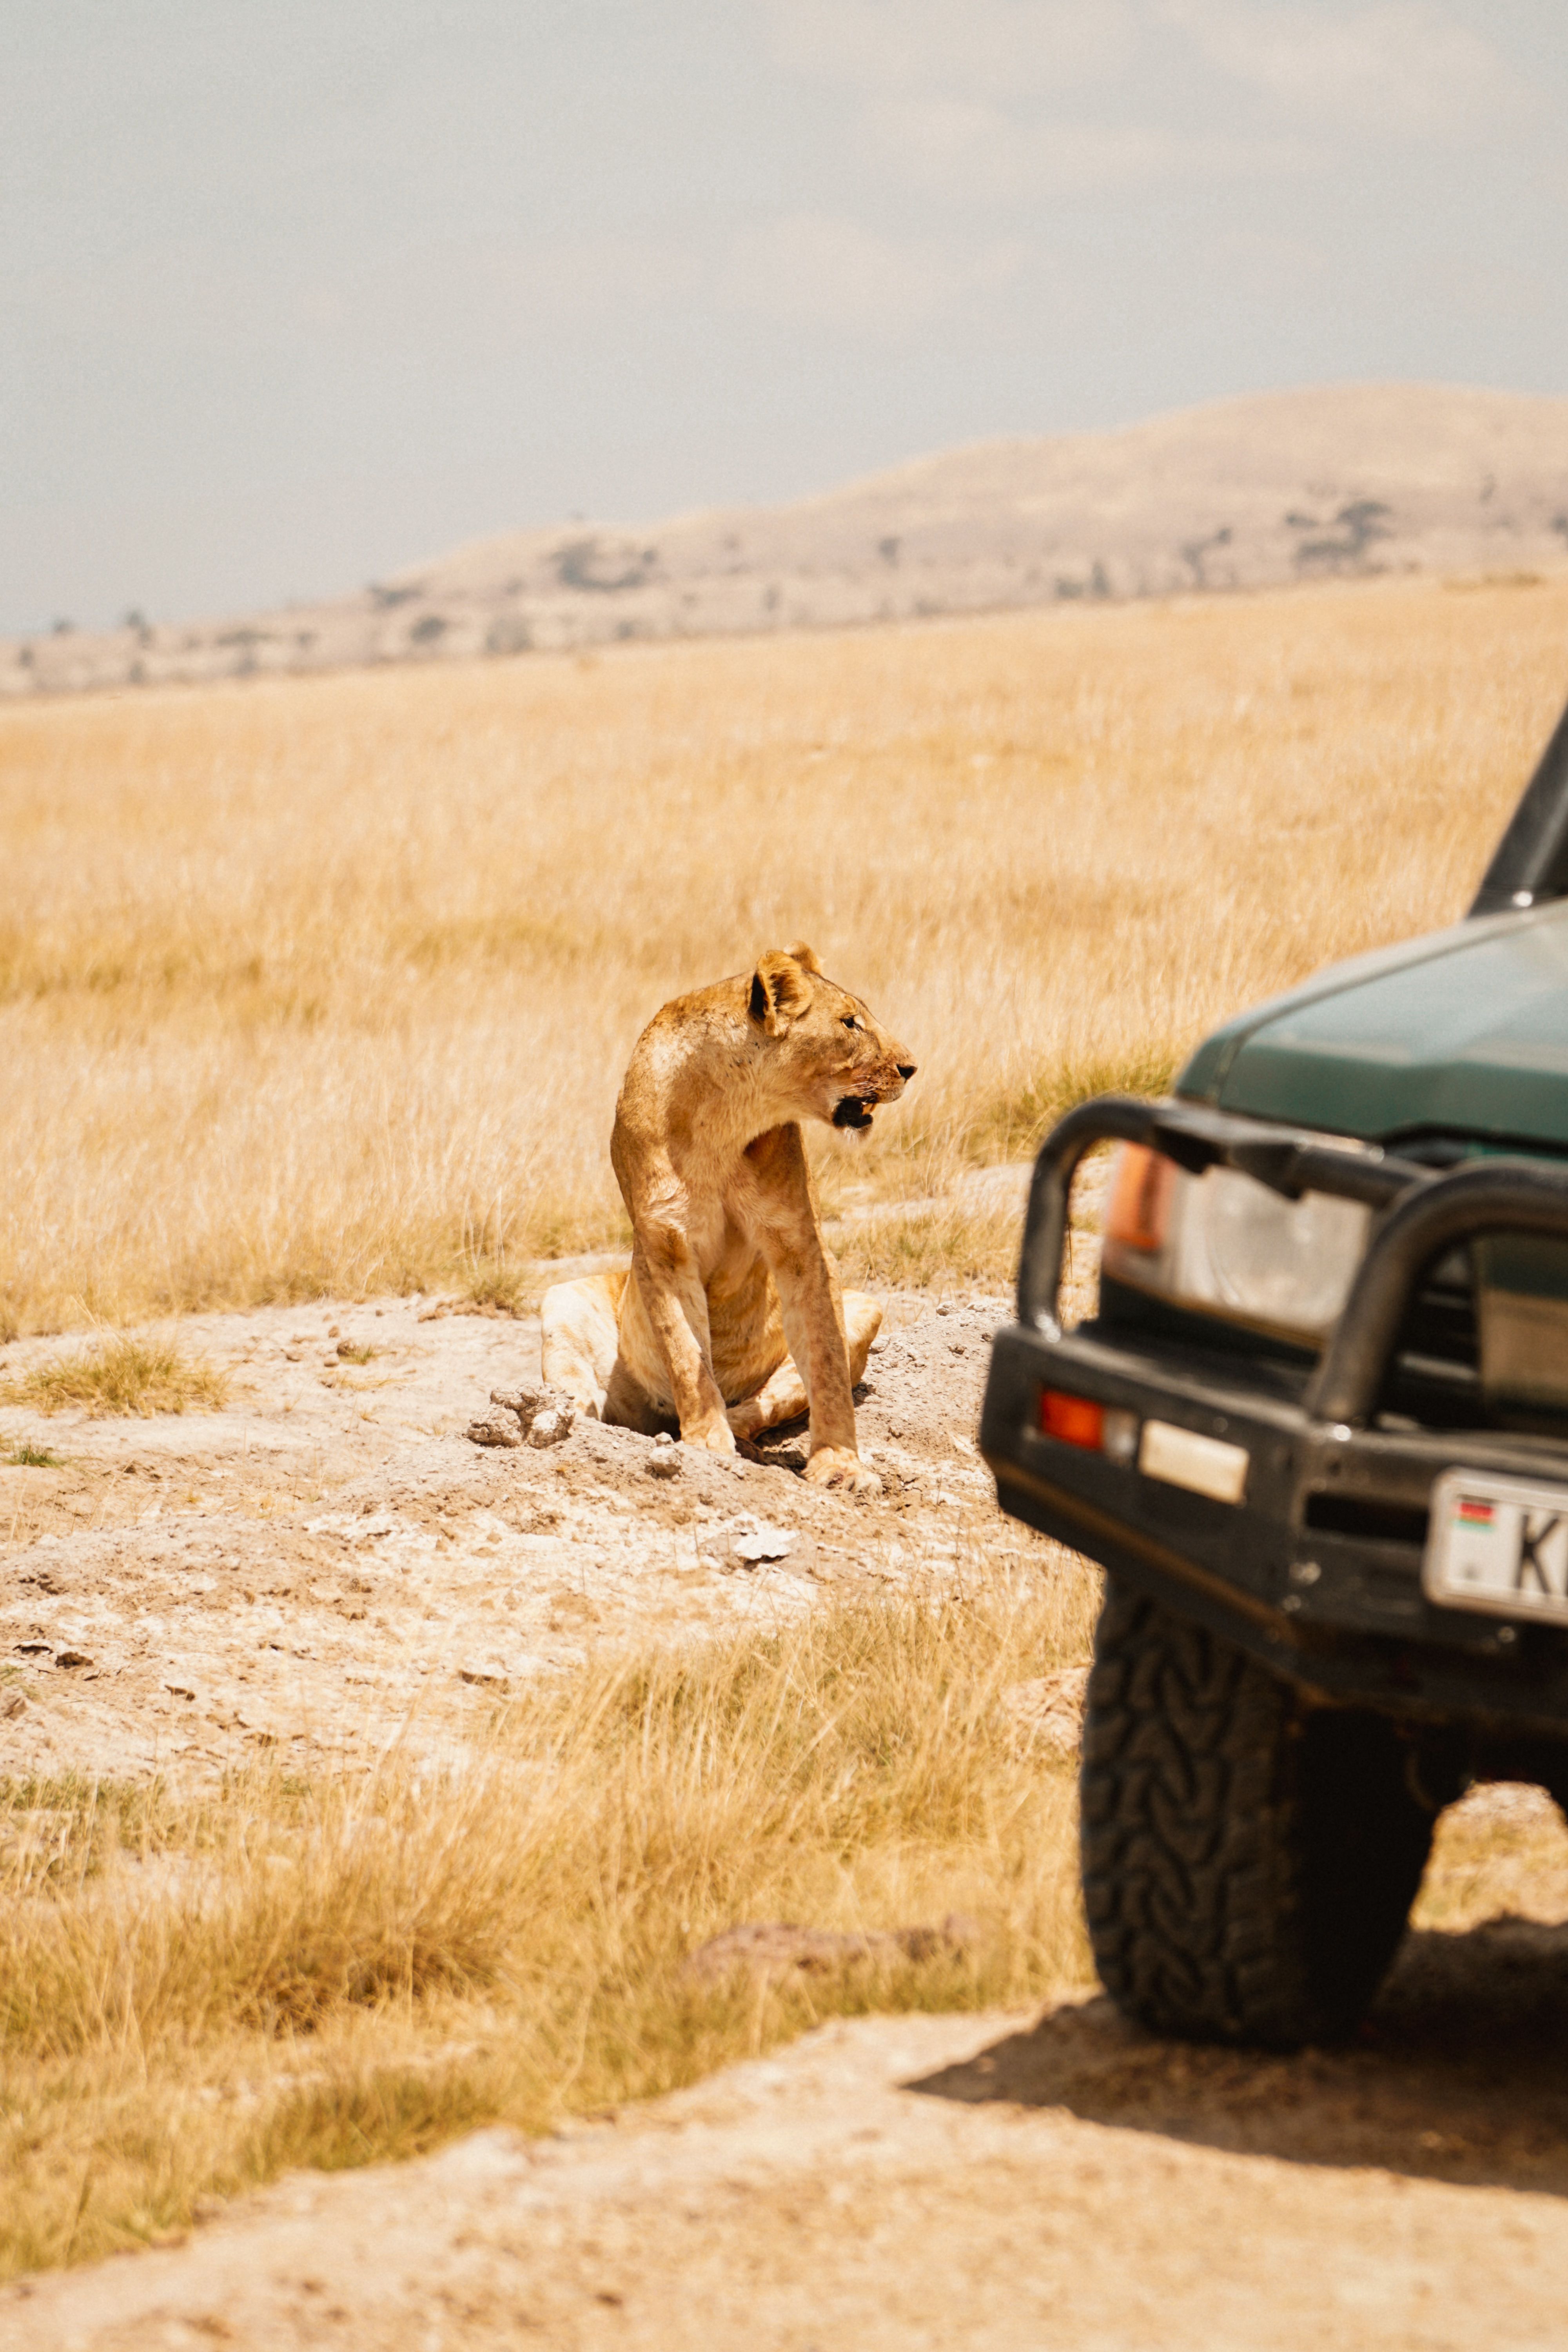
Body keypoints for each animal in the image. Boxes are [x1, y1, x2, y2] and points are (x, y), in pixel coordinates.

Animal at [540, 943, 915, 1493]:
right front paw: (705, 1445)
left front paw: (840, 1464)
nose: (911, 1068)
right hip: (561, 1297)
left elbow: (824, 1362)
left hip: (864, 1308)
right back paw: (560, 1422)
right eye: (850, 1022)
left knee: (769, 1399)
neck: (725, 1114)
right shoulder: (664, 1244)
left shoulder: (799, 1243)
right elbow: (686, 1354)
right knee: (589, 1400)